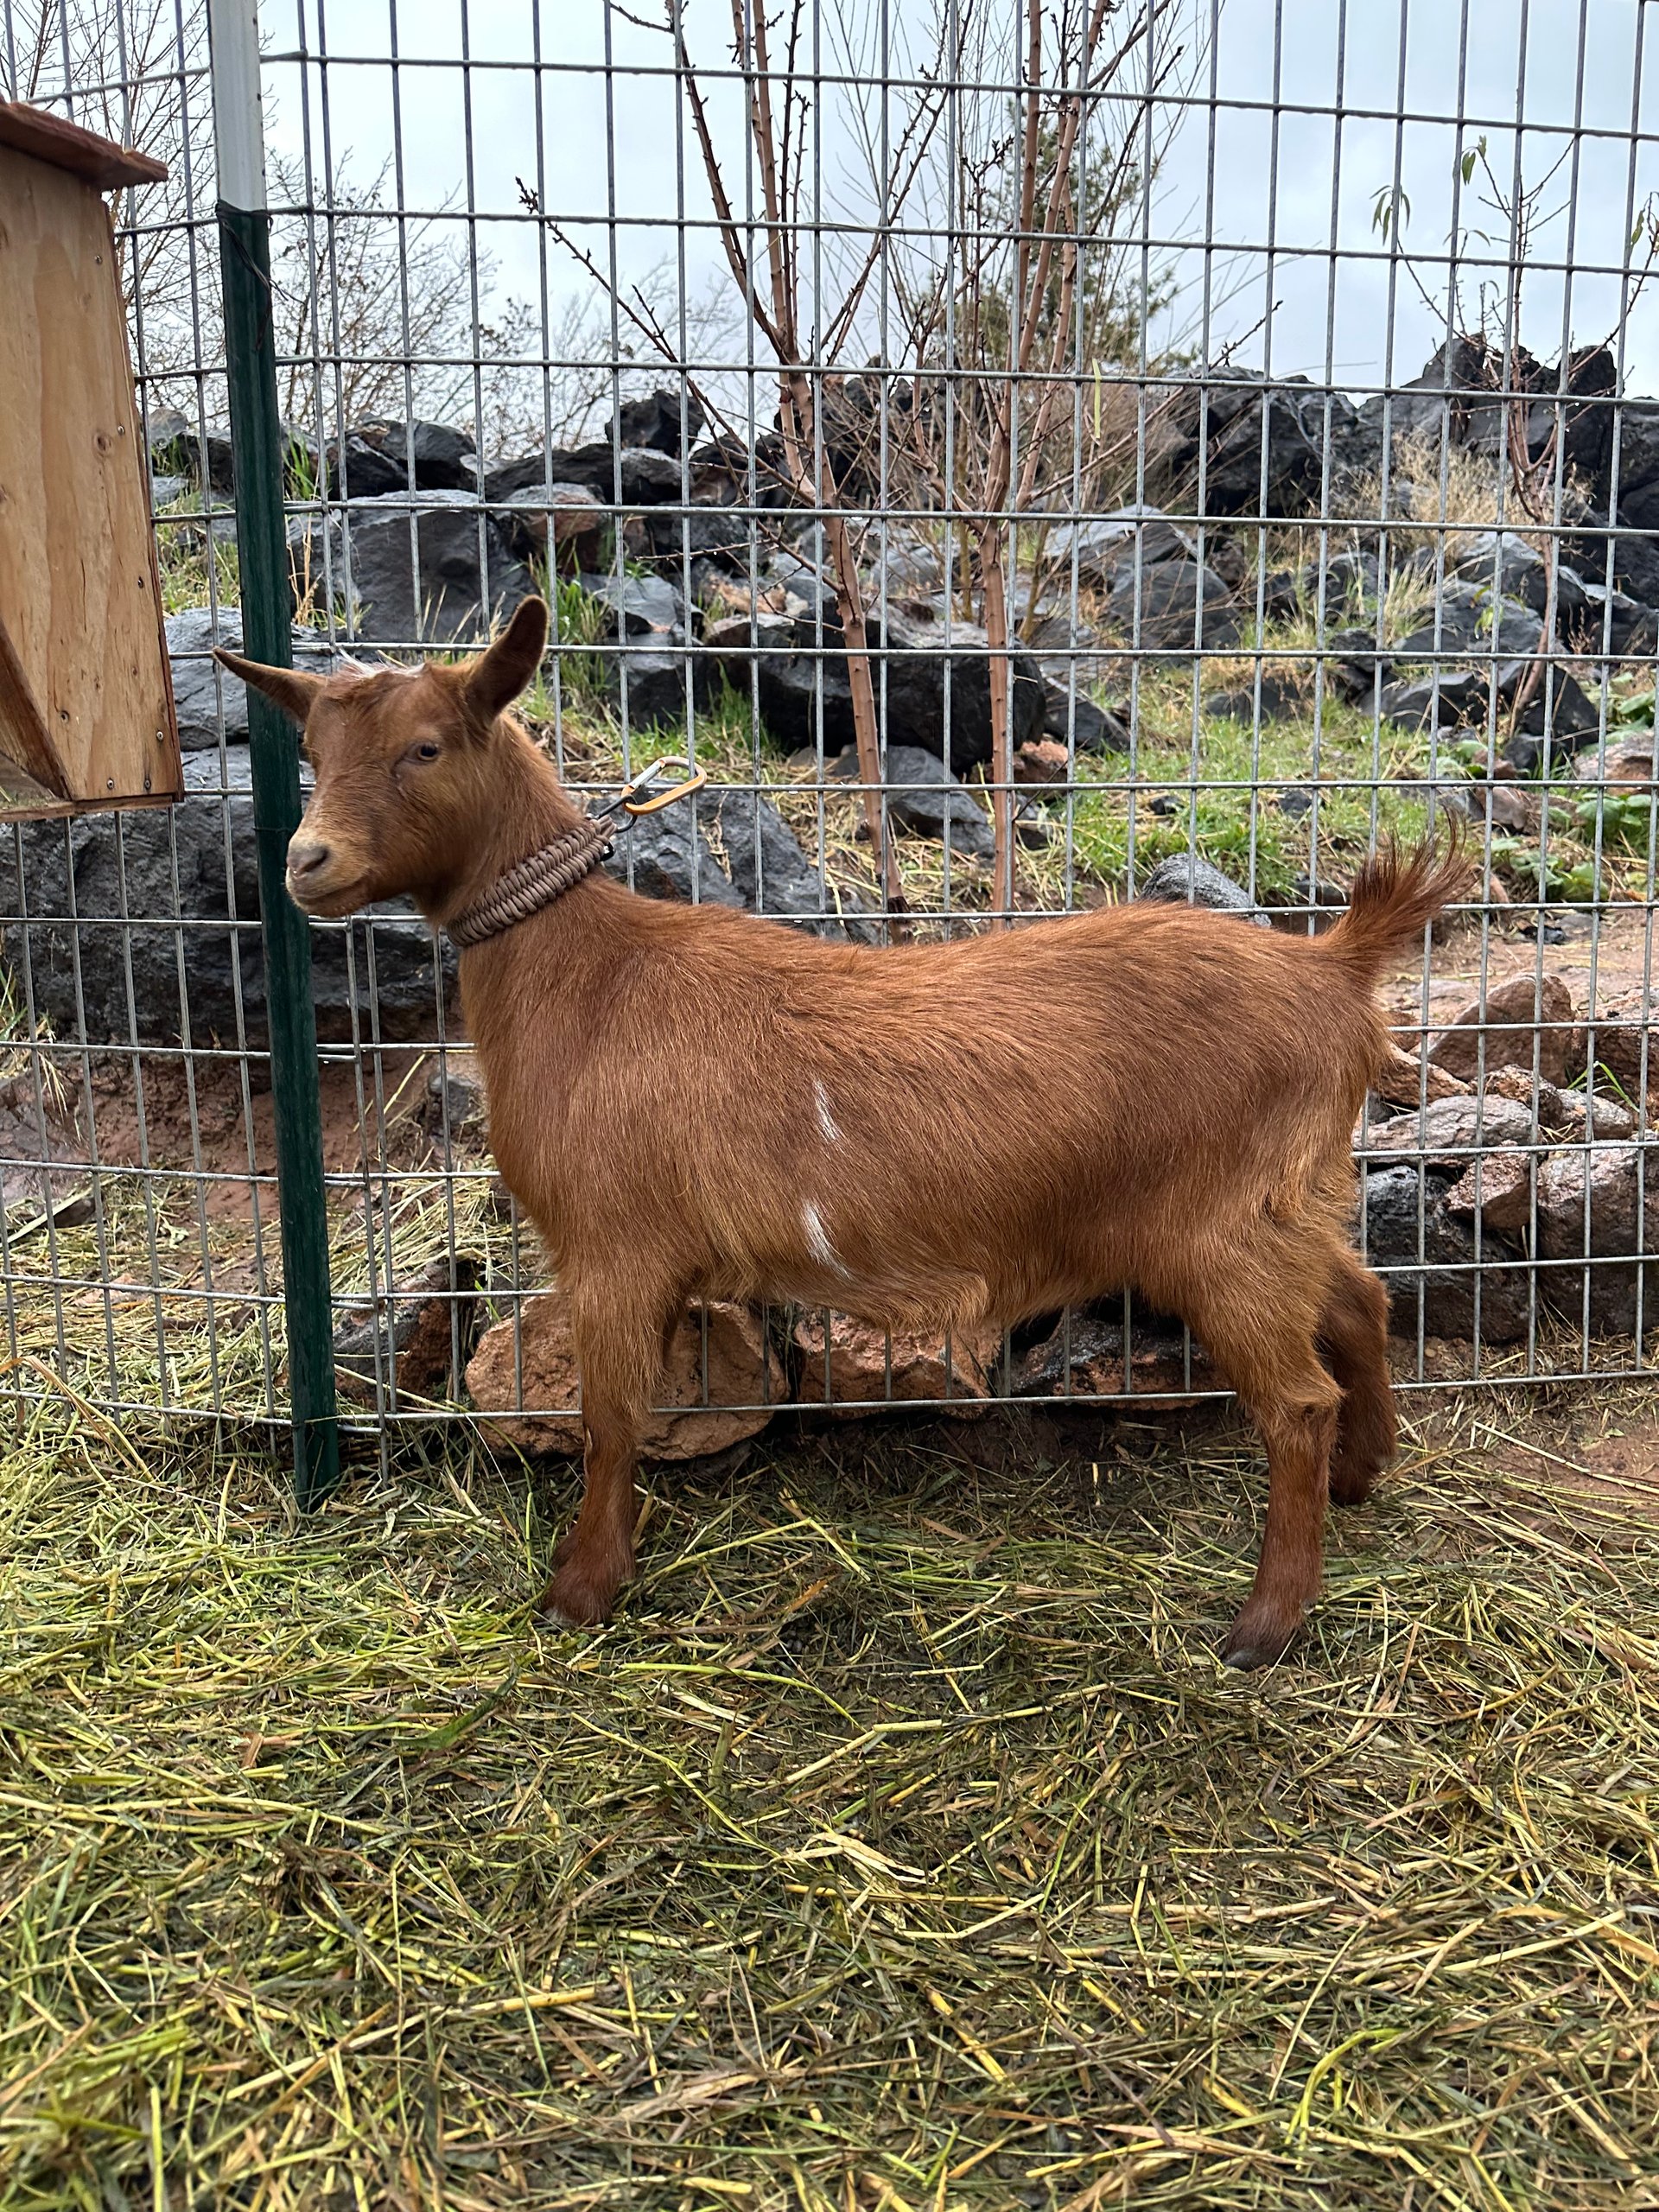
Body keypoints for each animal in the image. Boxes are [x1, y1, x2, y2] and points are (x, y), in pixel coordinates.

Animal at [218, 597, 1470, 1668]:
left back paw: (1265, 1624)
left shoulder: (615, 1243)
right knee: (1361, 1298)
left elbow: (613, 1416)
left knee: (1296, 1401)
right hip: (1284, 1196)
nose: (307, 863)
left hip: (1217, 1224)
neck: (590, 974)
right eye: (311, 751)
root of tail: (1334, 966)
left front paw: (581, 1590)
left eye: (427, 747)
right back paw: (1365, 1474)